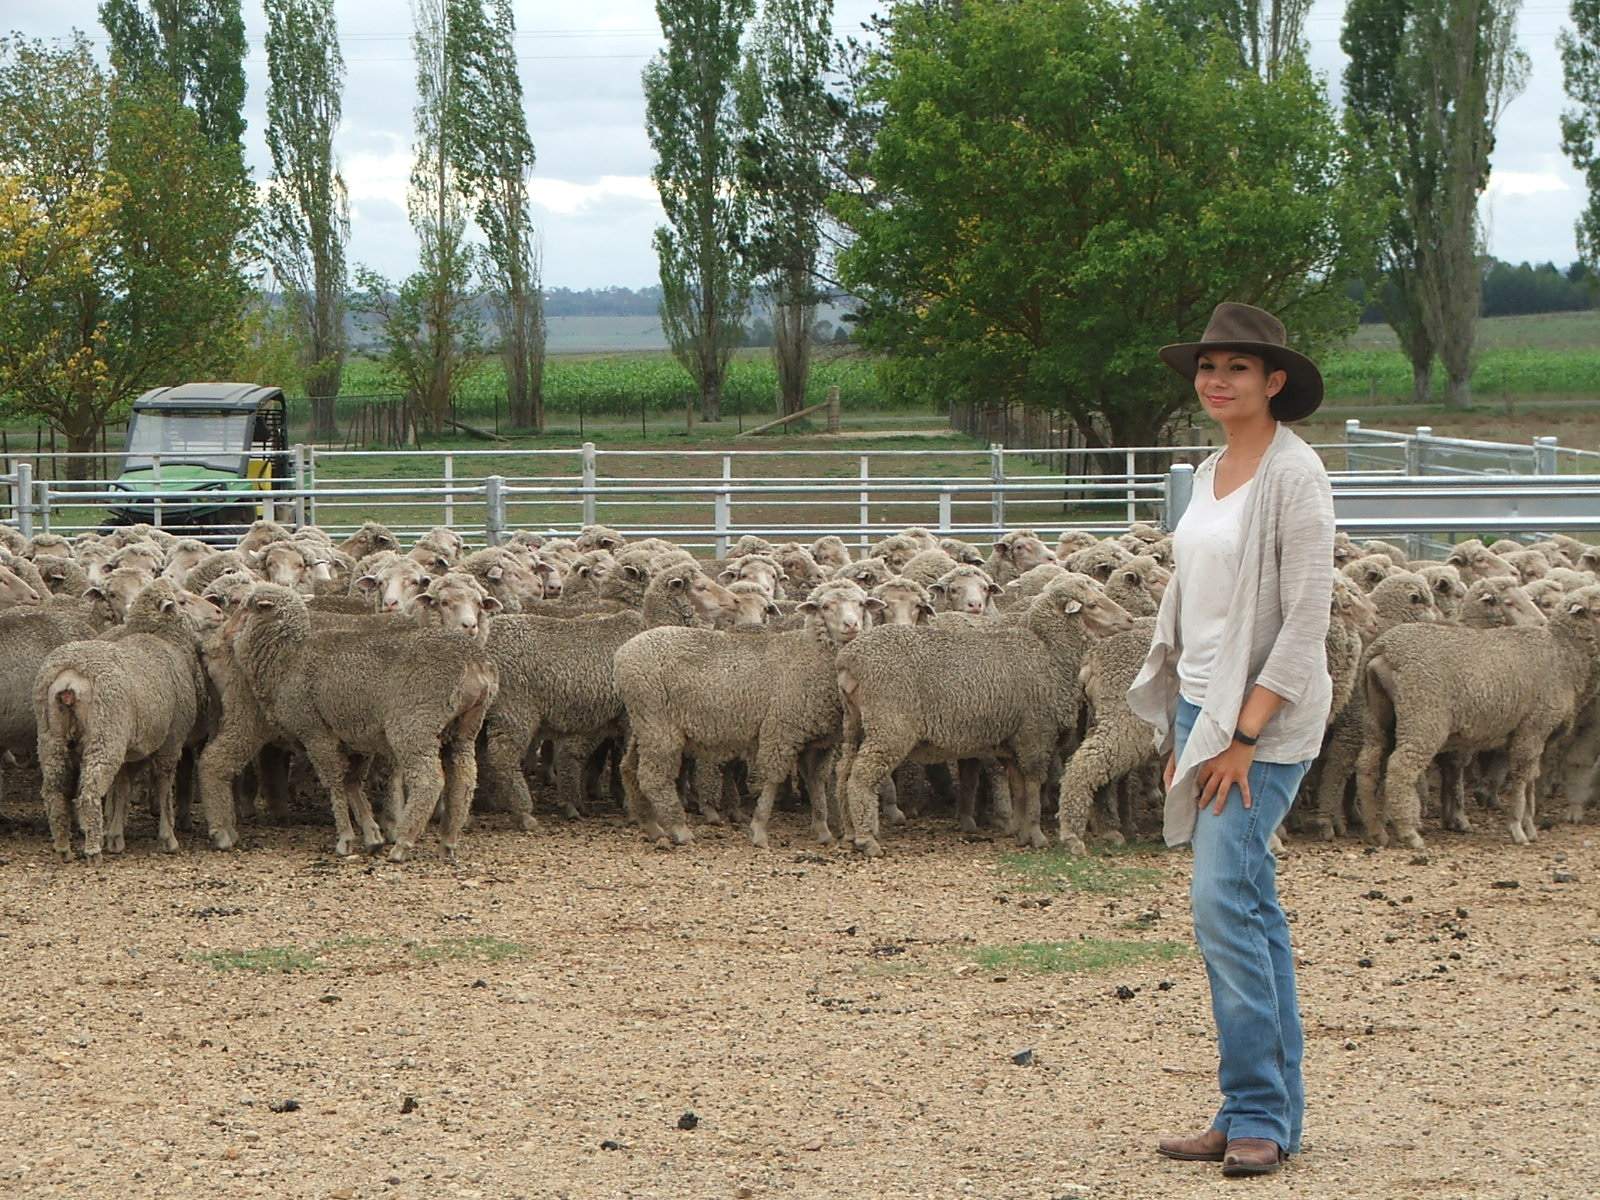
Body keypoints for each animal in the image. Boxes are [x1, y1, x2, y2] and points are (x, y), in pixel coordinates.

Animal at [35, 579, 218, 860]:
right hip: (105, 733)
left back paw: (64, 847)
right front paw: (168, 838)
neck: (163, 639)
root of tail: (69, 679)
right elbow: (163, 786)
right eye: (183, 601)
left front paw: (115, 837)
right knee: (90, 790)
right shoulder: (171, 740)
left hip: (51, 735)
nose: (218, 612)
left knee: (53, 791)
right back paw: (92, 850)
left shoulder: (131, 746)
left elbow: (122, 786)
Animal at [226, 583, 498, 862]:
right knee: (464, 777)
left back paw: (403, 843)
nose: (226, 632)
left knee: (428, 780)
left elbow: (335, 782)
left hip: (415, 724)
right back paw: (448, 841)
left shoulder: (315, 732)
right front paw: (372, 835)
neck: (287, 656)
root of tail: (474, 662)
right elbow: (351, 782)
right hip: (465, 728)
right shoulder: (356, 736)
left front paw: (345, 838)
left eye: (245, 607)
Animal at [617, 578, 883, 849]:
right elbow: (772, 780)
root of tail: (623, 653)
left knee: (629, 768)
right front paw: (759, 830)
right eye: (826, 606)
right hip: (658, 724)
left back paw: (652, 826)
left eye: (861, 604)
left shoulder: (818, 742)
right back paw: (679, 829)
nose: (851, 625)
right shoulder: (781, 729)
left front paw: (822, 830)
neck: (810, 654)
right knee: (653, 776)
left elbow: (816, 782)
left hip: (645, 722)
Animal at [834, 573, 1132, 856]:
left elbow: (1019, 790)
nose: (1130, 619)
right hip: (890, 727)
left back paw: (849, 831)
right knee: (861, 775)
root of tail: (849, 660)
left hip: (855, 724)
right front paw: (1037, 835)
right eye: (1092, 605)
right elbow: (1034, 786)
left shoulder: (1014, 743)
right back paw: (866, 839)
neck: (1048, 650)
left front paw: (1023, 835)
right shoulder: (1035, 734)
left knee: (844, 772)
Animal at [1357, 585, 1600, 848]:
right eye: (1597, 610)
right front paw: (1518, 828)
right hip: (1423, 716)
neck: (1564, 655)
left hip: (1379, 718)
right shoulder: (1533, 728)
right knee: (1401, 766)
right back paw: (1409, 832)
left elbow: (1530, 779)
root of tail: (1383, 650)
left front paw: (1529, 826)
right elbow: (1521, 778)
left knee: (1368, 764)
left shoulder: (1536, 735)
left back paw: (1376, 830)